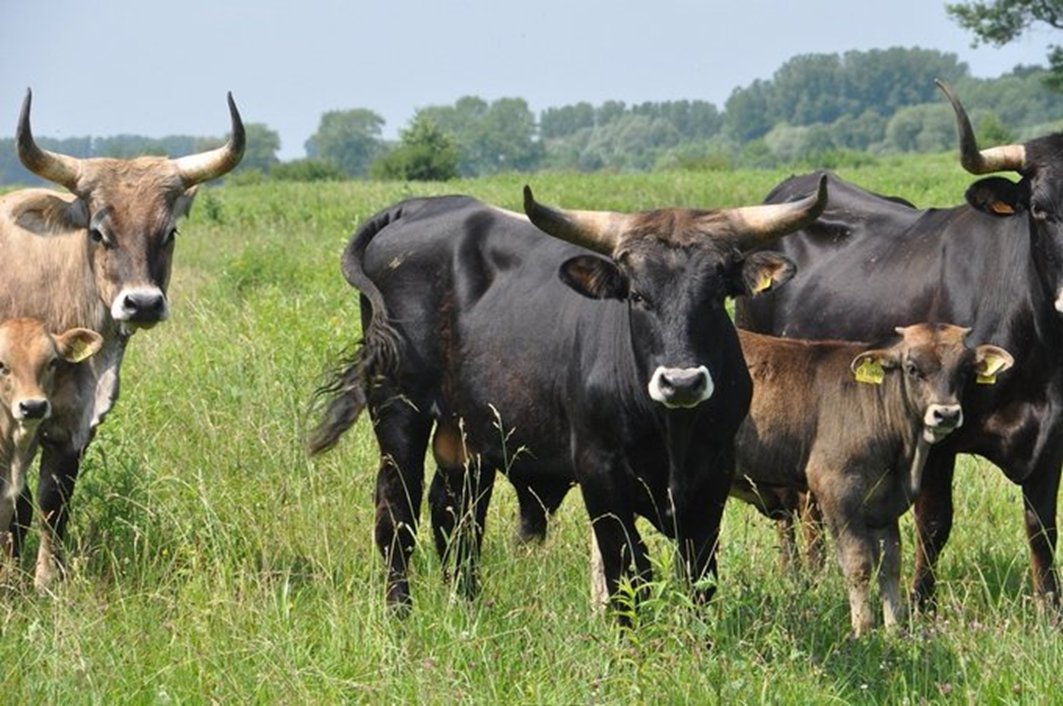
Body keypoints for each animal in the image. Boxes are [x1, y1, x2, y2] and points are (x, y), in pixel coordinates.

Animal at [308, 178, 828, 615]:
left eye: (717, 293)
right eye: (637, 296)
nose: (681, 383)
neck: (671, 431)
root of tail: (418, 205)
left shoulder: (711, 478)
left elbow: (698, 574)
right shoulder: (601, 475)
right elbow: (627, 570)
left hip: (466, 430)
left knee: (456, 514)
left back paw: (468, 607)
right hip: (398, 411)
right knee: (397, 514)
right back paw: (401, 613)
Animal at [736, 80, 1063, 611]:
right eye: (1039, 209)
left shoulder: (1049, 436)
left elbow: (1042, 529)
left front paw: (1050, 610)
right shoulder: (935, 431)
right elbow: (934, 523)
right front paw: (921, 605)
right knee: (791, 504)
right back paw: (800, 575)